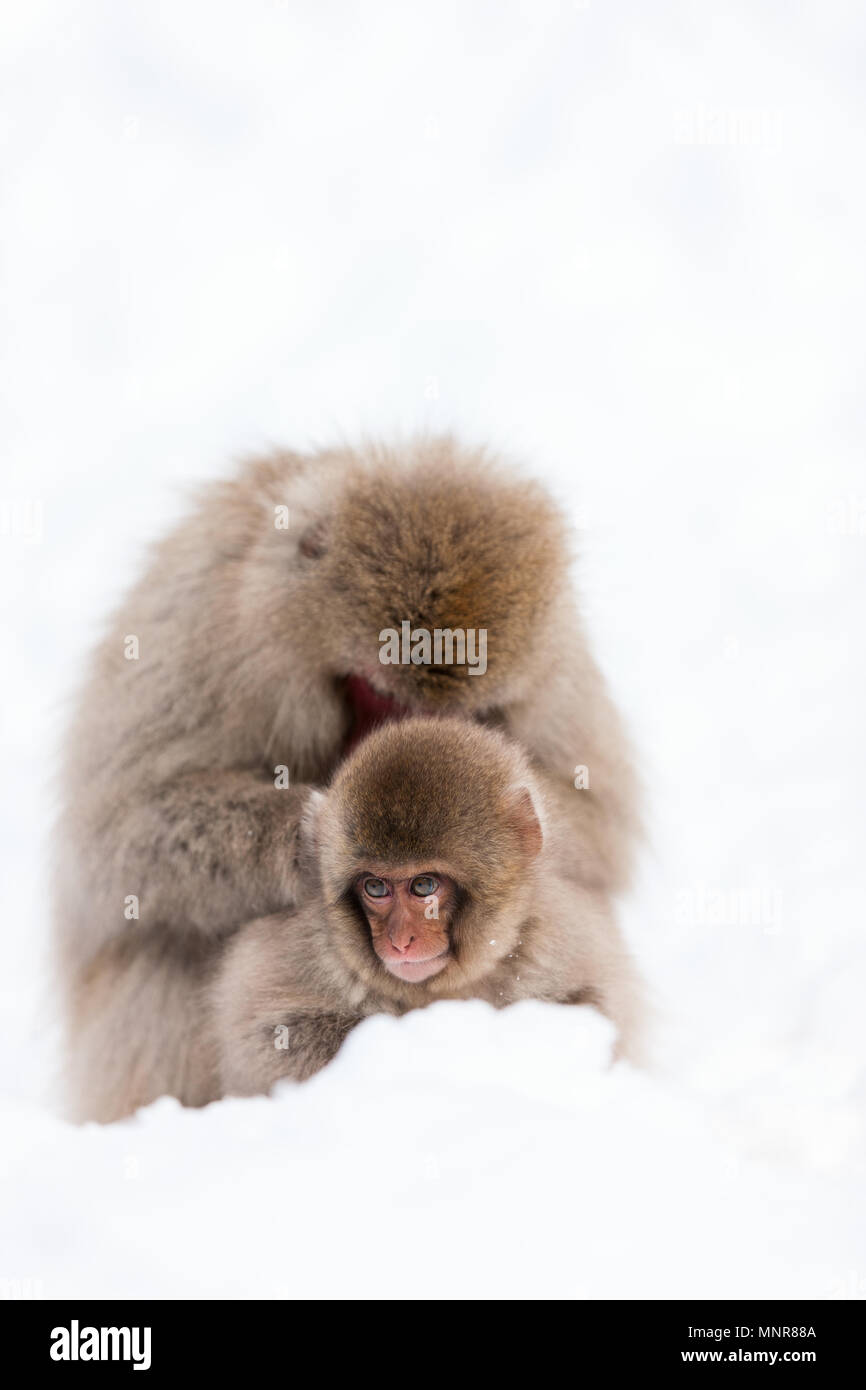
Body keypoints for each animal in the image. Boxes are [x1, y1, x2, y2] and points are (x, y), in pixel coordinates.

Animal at [211, 716, 646, 1099]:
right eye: (375, 887)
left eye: (424, 886)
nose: (400, 941)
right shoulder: (312, 947)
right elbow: (268, 1039)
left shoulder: (551, 934)